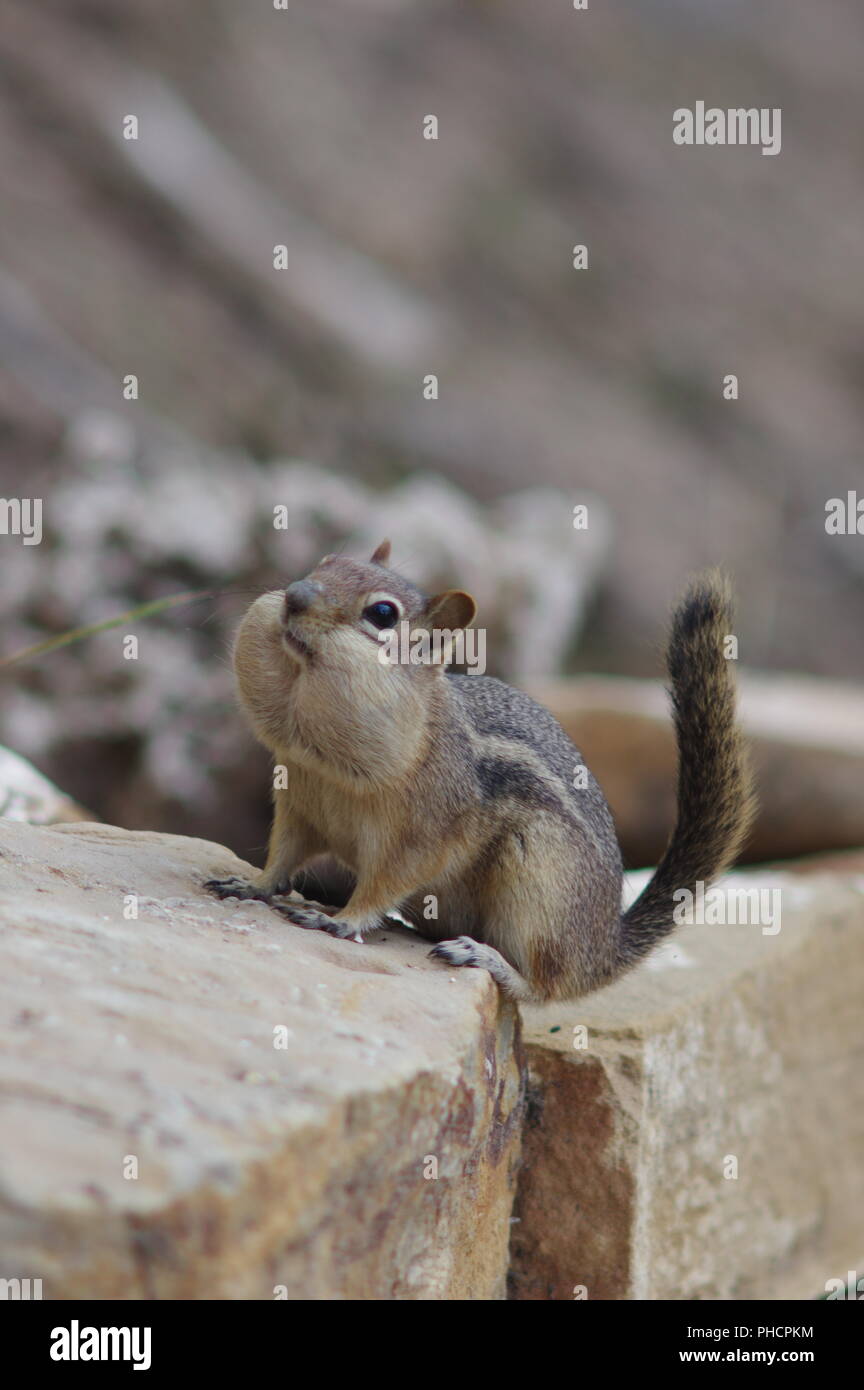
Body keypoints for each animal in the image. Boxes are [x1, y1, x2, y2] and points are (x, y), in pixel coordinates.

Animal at [206, 541, 755, 1003]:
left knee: (545, 985)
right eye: (326, 561)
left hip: (538, 886)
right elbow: (283, 856)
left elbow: (384, 883)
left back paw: (486, 958)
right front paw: (253, 885)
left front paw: (342, 918)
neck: (324, 764)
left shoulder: (422, 834)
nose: (295, 595)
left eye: (382, 614)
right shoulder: (298, 805)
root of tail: (602, 952)